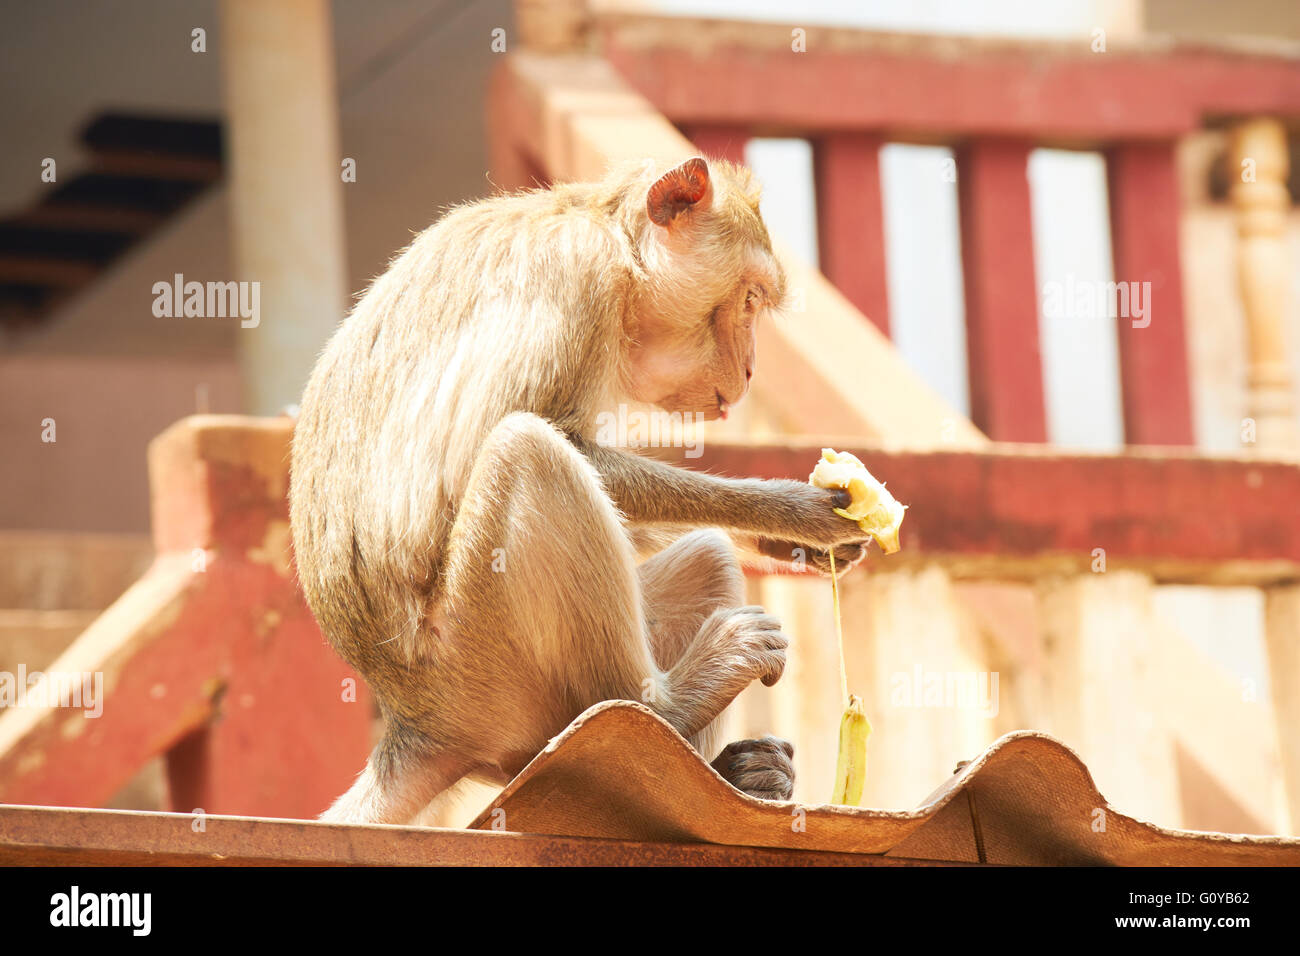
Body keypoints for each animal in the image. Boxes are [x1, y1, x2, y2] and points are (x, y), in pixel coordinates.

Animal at [289, 156, 873, 825]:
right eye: (749, 299)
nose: (751, 369)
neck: (612, 238)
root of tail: (413, 720)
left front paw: (783, 545)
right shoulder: (578, 284)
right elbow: (521, 438)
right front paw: (792, 512)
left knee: (705, 556)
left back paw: (731, 769)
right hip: (478, 666)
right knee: (527, 449)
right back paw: (665, 704)